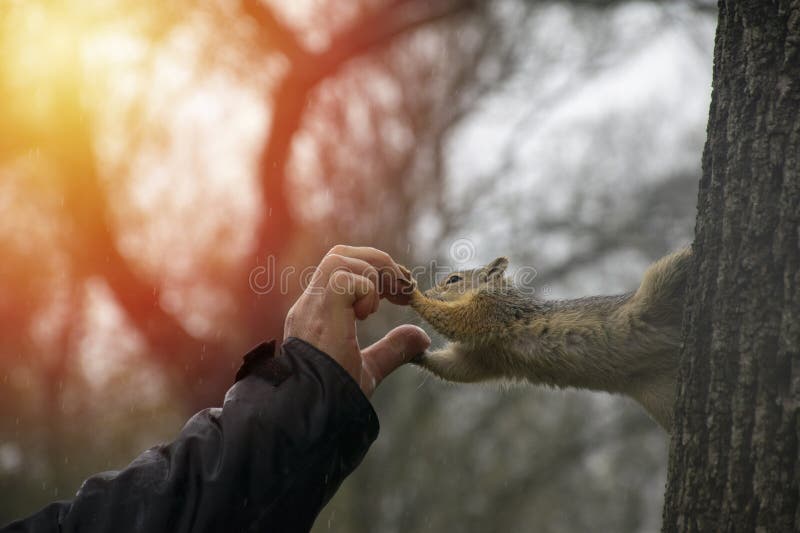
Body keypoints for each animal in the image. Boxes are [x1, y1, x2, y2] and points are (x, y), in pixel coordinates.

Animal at [401, 247, 691, 431]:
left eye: (454, 279)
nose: (430, 291)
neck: (497, 292)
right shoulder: (483, 356)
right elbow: (457, 368)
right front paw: (416, 354)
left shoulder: (491, 312)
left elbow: (457, 320)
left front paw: (413, 294)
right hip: (660, 397)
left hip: (659, 283)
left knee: (675, 267)